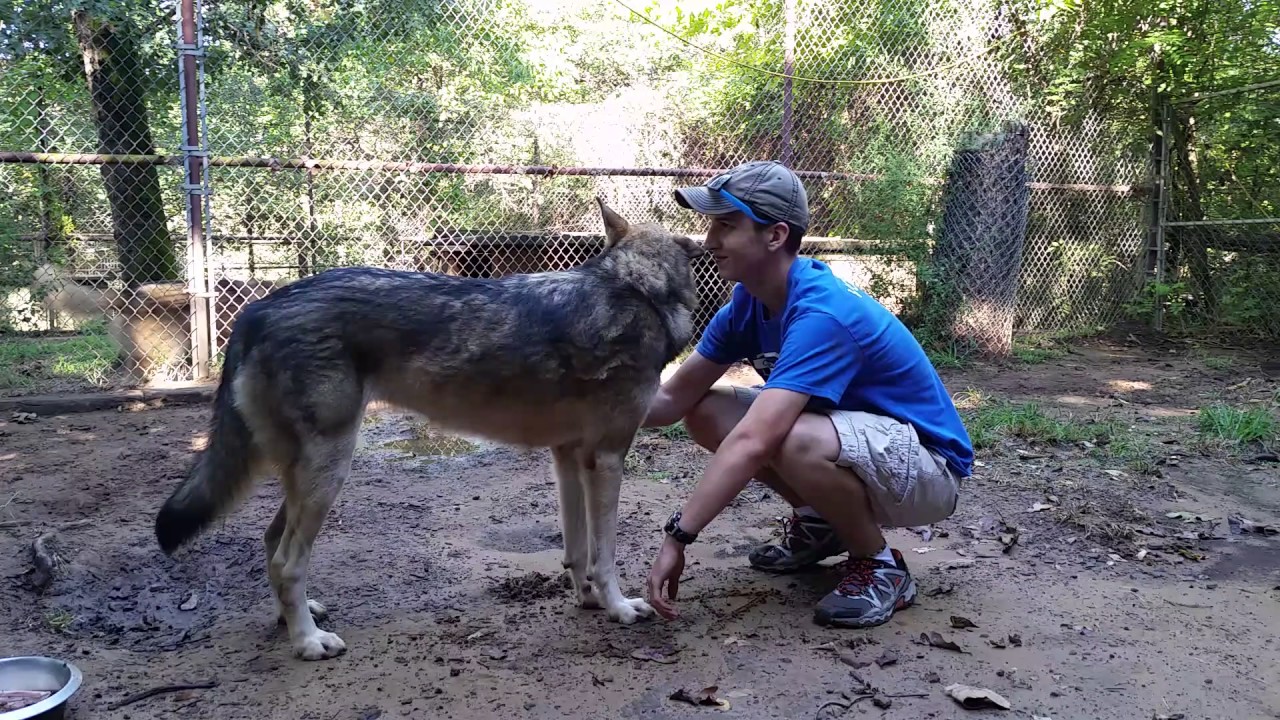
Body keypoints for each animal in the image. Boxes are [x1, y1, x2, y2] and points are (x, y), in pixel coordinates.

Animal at [153, 199, 706, 660]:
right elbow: (605, 552)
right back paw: (308, 642)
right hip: (329, 472)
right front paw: (619, 607)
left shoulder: (568, 457)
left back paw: (298, 618)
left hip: (308, 476)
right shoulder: (608, 459)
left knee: (270, 547)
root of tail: (255, 310)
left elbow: (576, 549)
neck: (637, 290)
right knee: (288, 561)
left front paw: (587, 599)